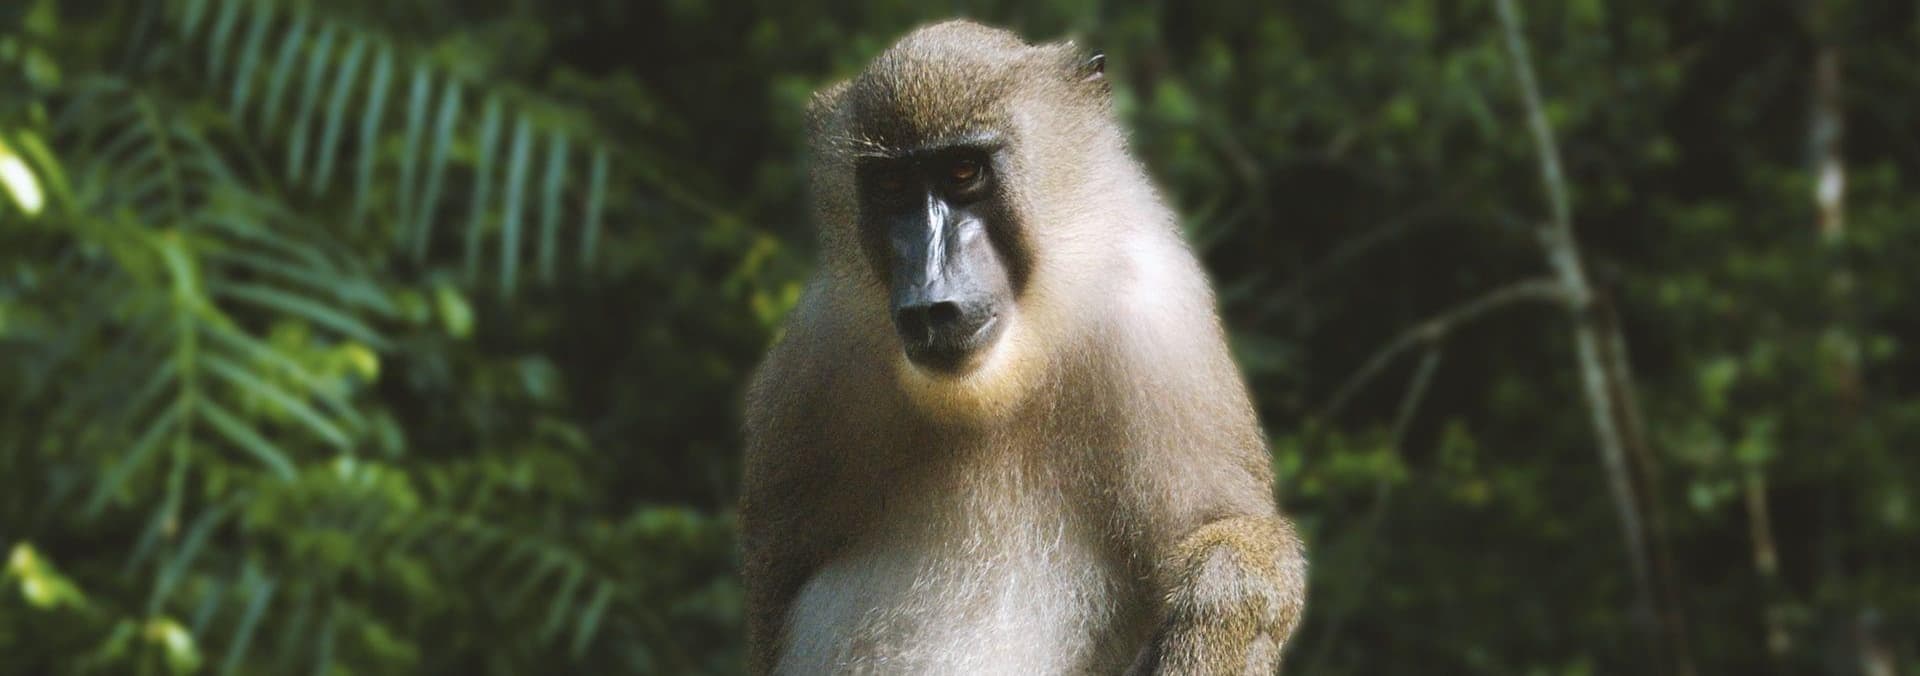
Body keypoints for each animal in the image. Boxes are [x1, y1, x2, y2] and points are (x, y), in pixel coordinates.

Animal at [741, 19, 1306, 676]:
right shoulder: (814, 359)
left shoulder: (1157, 333)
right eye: (892, 184)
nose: (931, 298)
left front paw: (1222, 593)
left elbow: (1235, 542)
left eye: (964, 172)